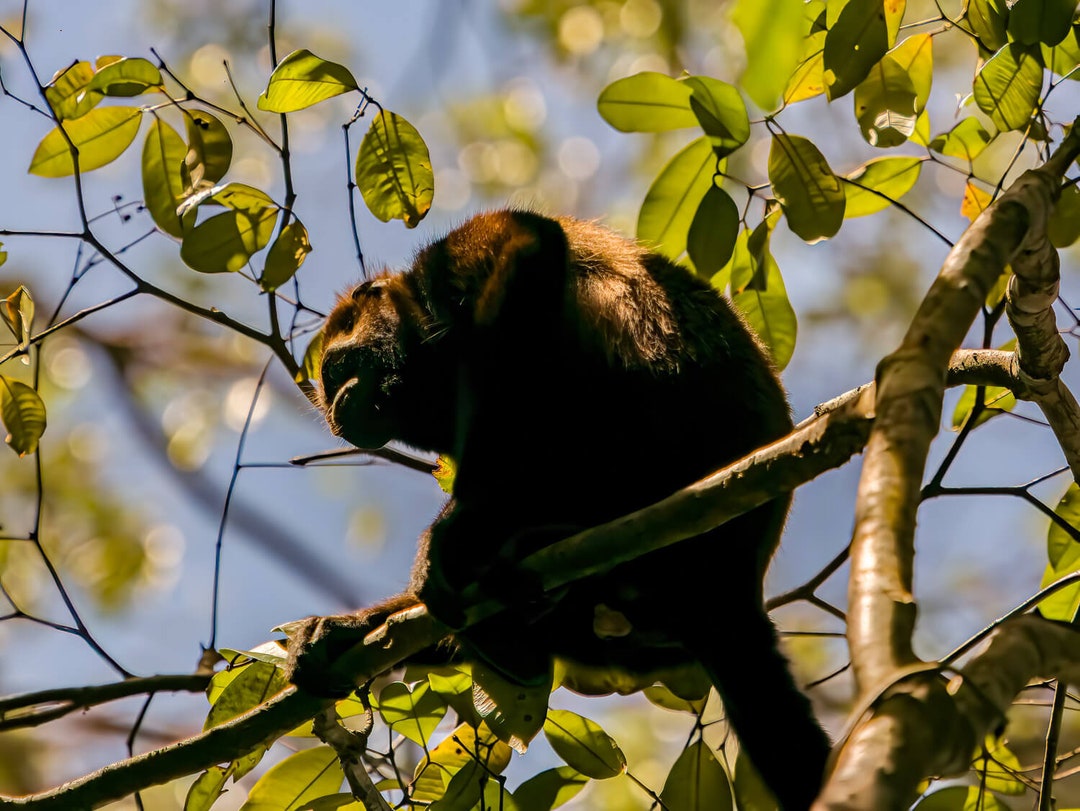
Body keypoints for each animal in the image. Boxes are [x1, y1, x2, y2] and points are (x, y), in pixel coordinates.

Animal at [294, 209, 830, 810]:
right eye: (330, 386)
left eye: (336, 369)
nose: (337, 411)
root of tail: (734, 586)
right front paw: (345, 630)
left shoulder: (447, 263)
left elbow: (530, 246)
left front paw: (455, 533)